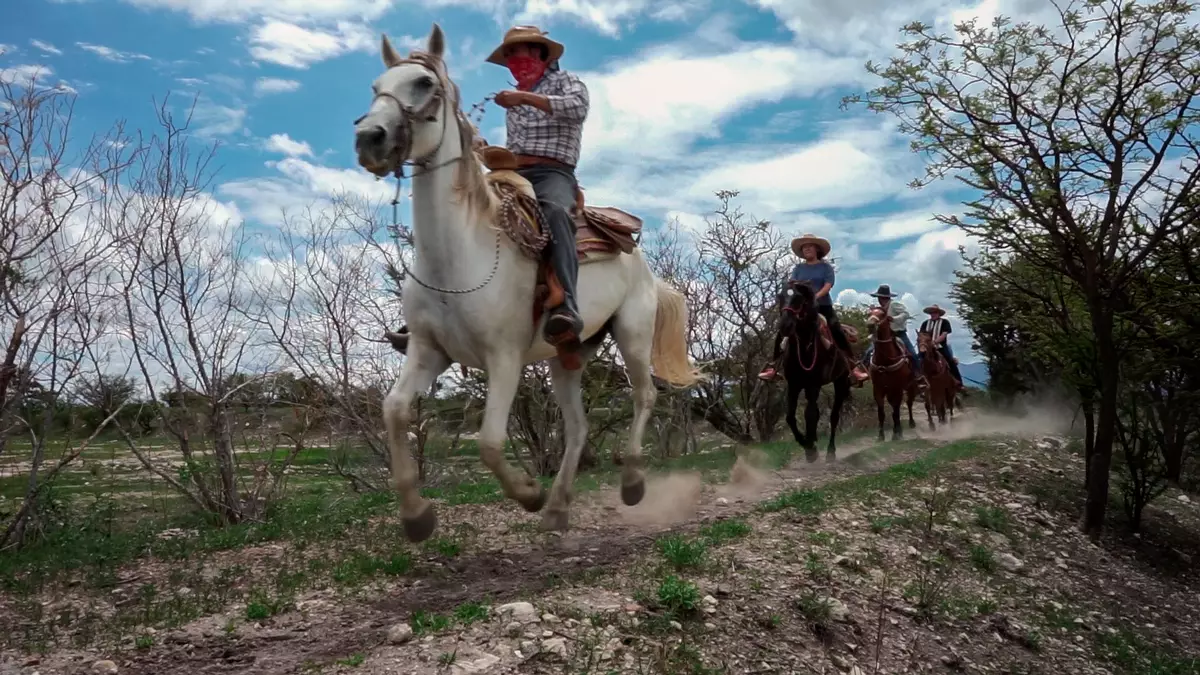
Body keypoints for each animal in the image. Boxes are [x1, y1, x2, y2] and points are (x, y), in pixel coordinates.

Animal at [350, 24, 700, 540]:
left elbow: (490, 442)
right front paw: (416, 517)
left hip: (633, 335)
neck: (458, 255)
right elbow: (394, 411)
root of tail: (642, 262)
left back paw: (631, 483)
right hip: (566, 357)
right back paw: (558, 509)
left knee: (645, 395)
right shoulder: (429, 351)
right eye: (376, 86)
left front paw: (527, 494)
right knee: (578, 428)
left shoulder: (505, 357)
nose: (369, 138)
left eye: (424, 83)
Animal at [777, 279, 854, 461]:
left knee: (834, 416)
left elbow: (810, 415)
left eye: (798, 298)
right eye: (779, 296)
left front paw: (811, 449)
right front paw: (807, 444)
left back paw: (830, 452)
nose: (785, 326)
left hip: (841, 381)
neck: (806, 345)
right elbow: (790, 416)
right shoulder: (794, 384)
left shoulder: (813, 385)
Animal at [864, 307, 916, 439]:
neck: (885, 361)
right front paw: (881, 436)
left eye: (882, 314)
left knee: (909, 403)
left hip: (910, 387)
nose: (870, 325)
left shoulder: (898, 388)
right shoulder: (878, 389)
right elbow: (882, 413)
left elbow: (896, 411)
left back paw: (911, 423)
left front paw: (897, 434)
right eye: (869, 313)